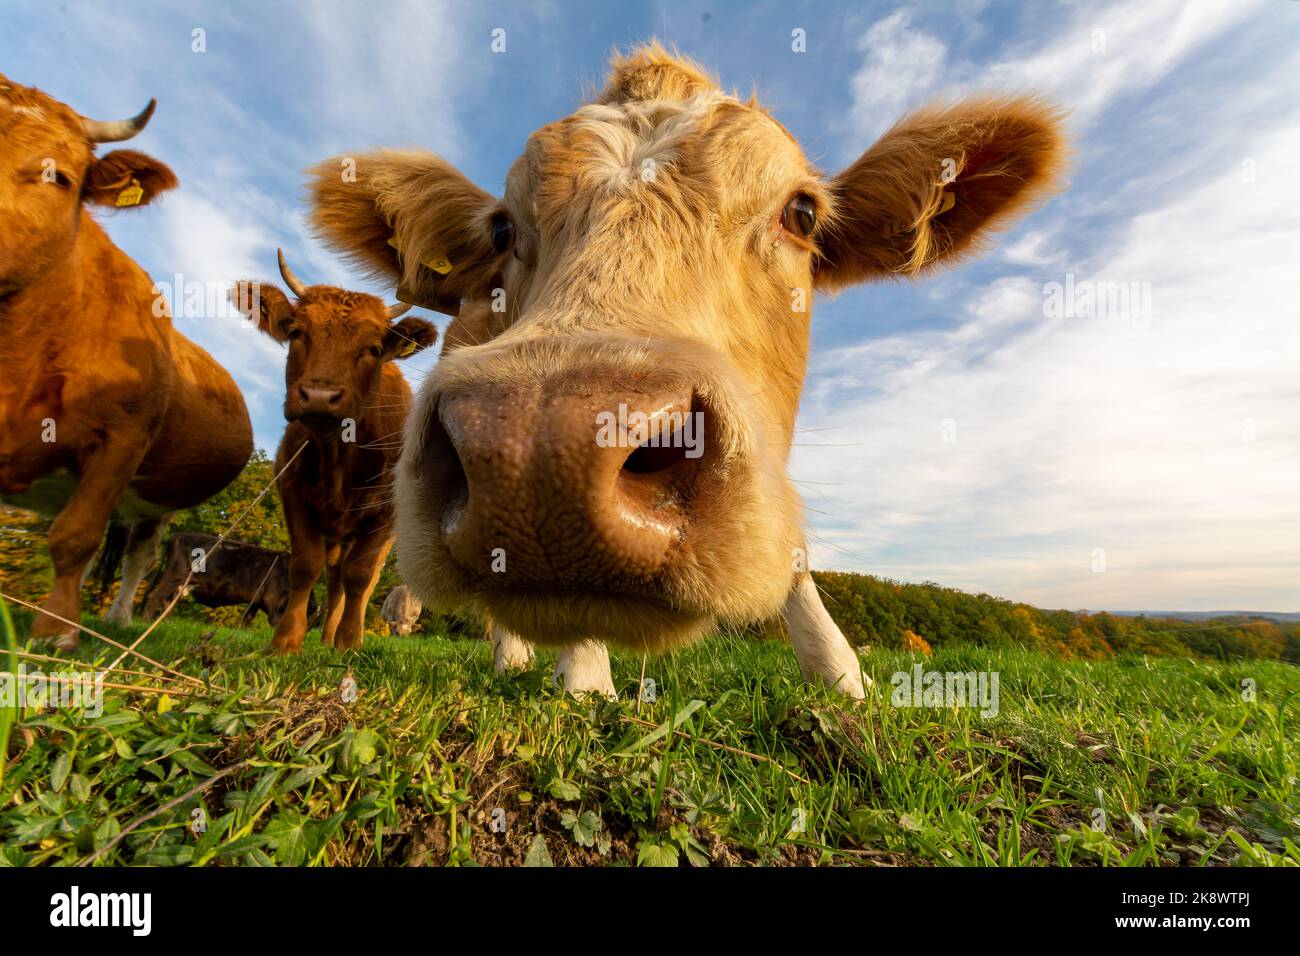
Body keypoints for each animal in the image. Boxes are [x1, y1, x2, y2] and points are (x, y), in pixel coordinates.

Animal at [0, 75, 253, 650]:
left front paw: (56, 634)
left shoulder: (123, 438)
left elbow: (75, 536)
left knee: (137, 551)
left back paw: (115, 619)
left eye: (60, 176)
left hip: (156, 501)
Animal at [141, 531, 319, 627]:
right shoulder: (272, 598)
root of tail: (177, 535)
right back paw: (145, 622)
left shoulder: (256, 601)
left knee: (167, 602)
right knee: (154, 596)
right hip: (174, 576)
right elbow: (275, 621)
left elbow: (247, 619)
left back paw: (163, 623)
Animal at [230, 252, 437, 654]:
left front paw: (350, 643)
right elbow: (304, 567)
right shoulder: (293, 494)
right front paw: (286, 641)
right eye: (297, 333)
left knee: (358, 580)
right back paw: (326, 636)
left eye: (373, 349)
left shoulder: (383, 517)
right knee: (334, 575)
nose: (320, 396)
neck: (339, 455)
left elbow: (361, 576)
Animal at [306, 44, 1066, 696]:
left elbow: (792, 552)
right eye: (502, 229)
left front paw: (841, 677)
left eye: (801, 212)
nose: (536, 458)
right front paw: (585, 677)